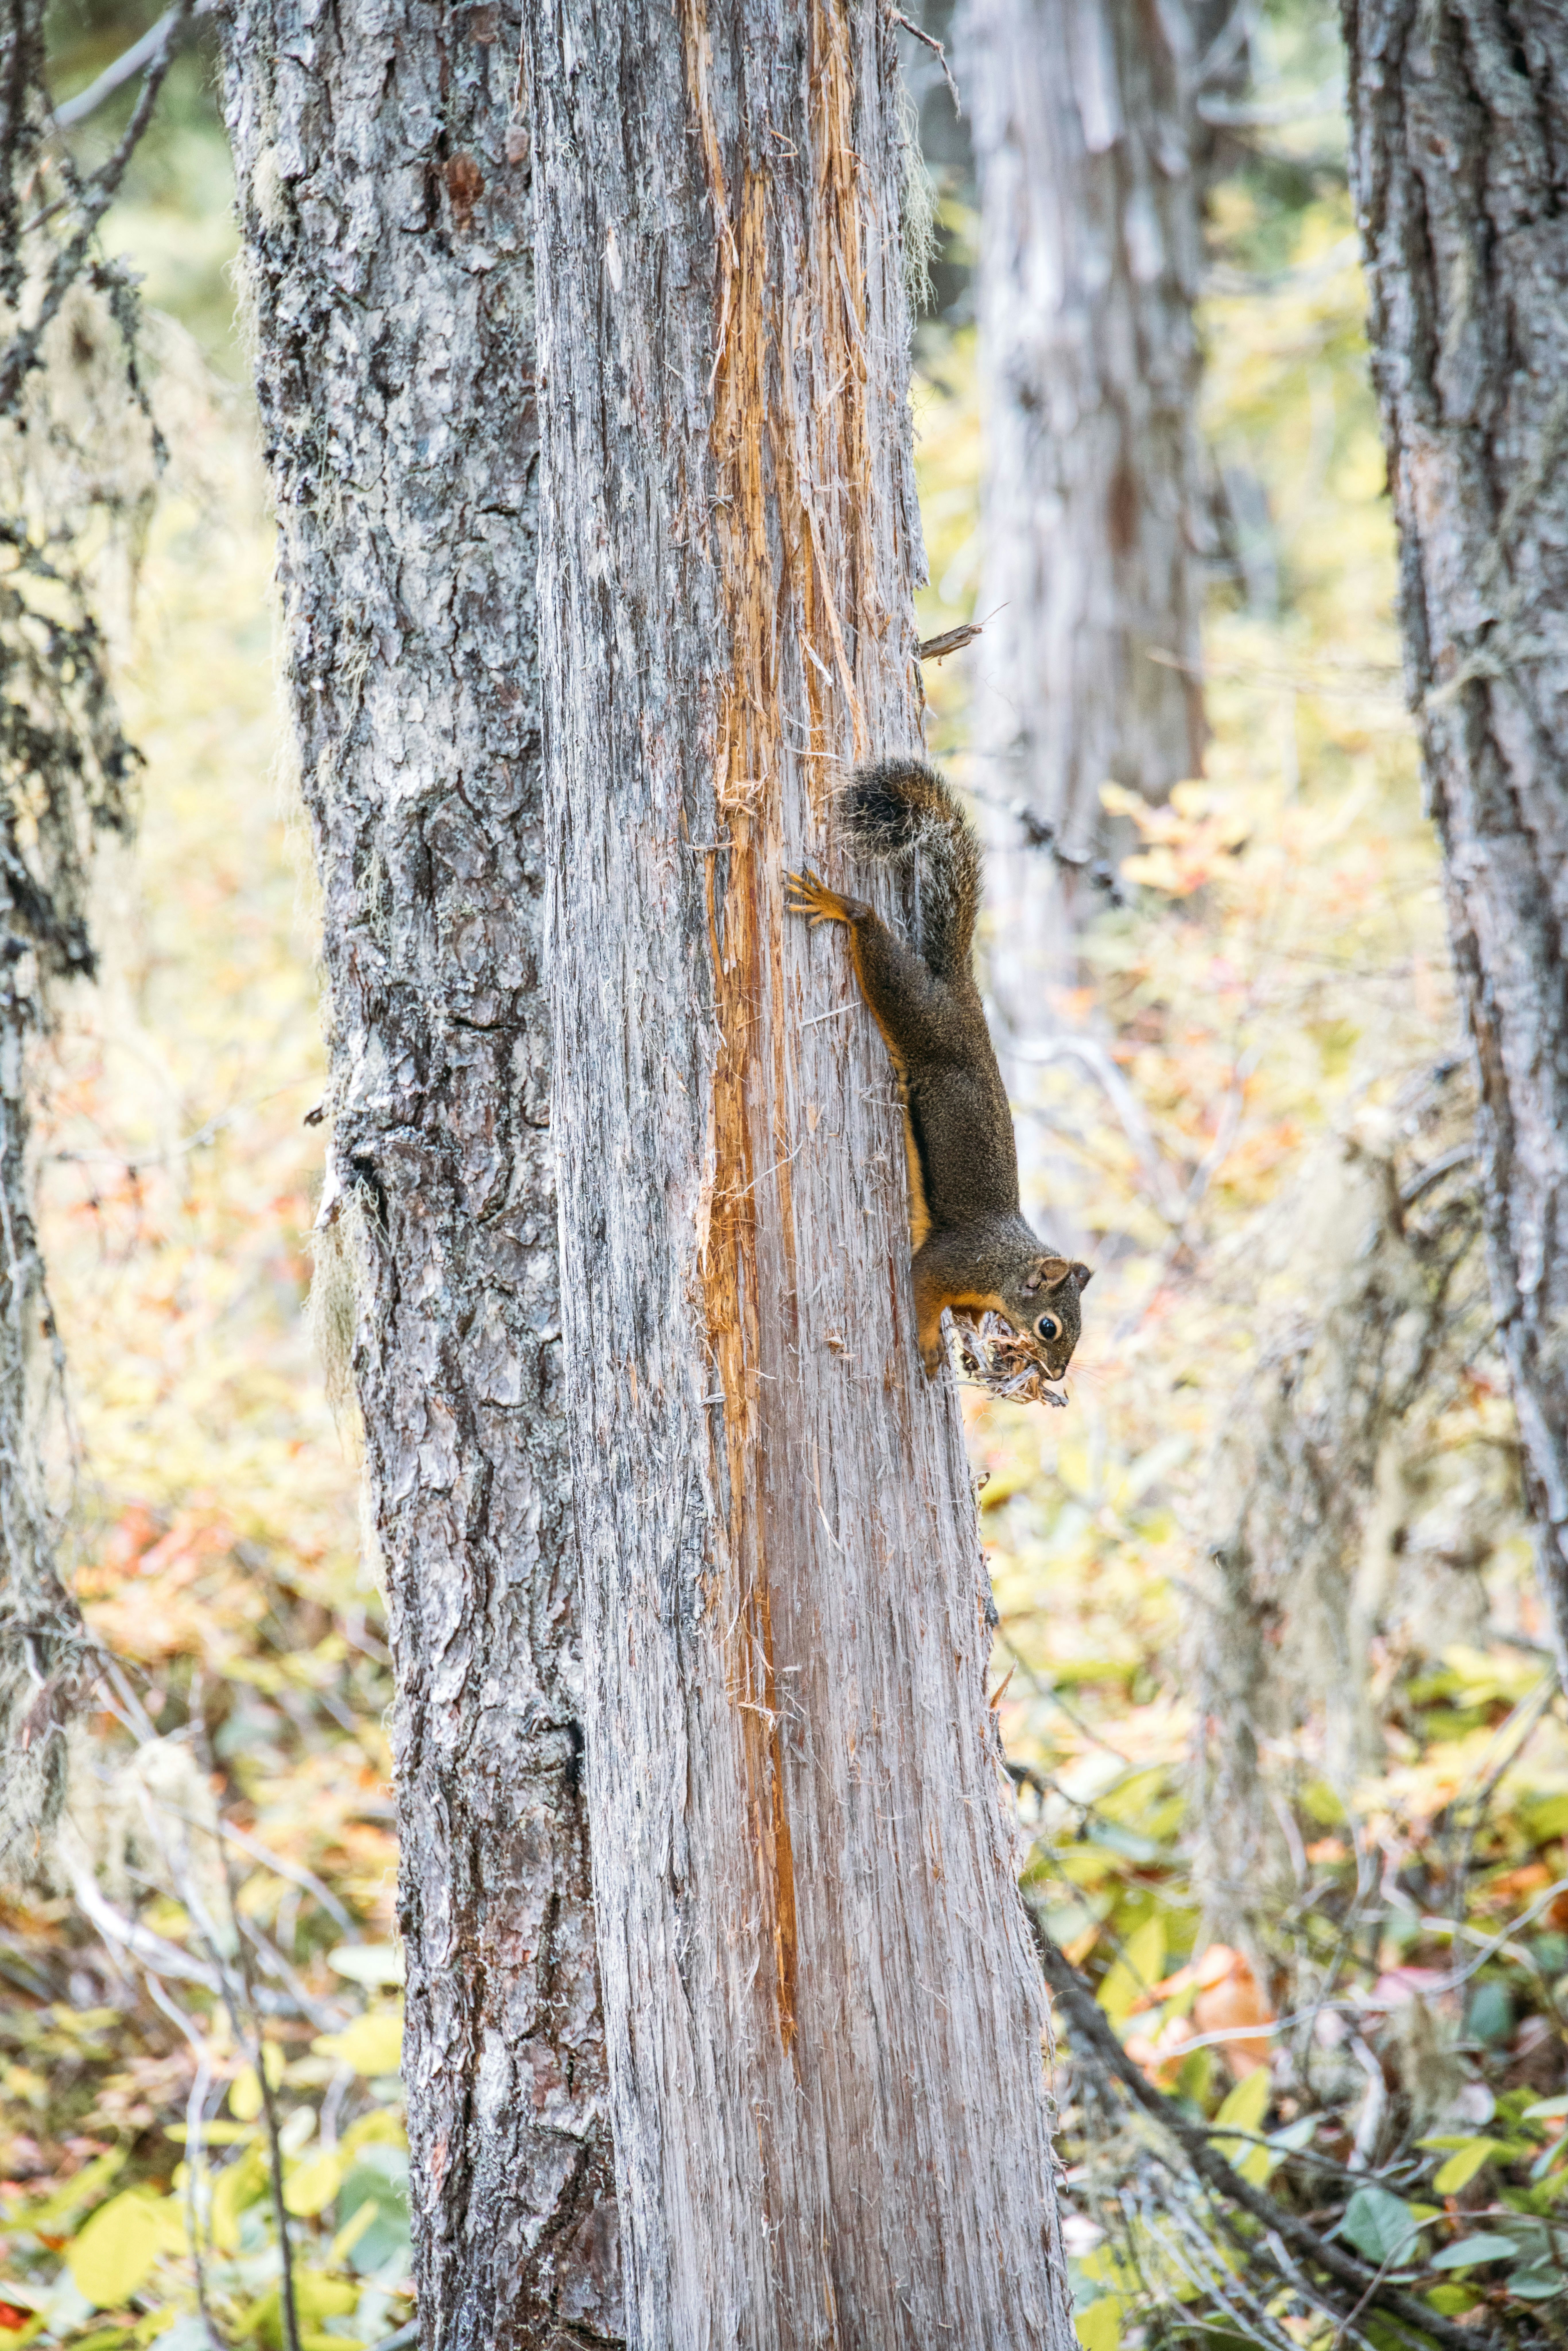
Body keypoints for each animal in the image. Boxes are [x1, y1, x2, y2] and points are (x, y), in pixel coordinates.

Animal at [787, 756, 1092, 1385]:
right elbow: (922, 1290)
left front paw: (972, 1345)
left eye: (1077, 1333)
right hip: (917, 1014)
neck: (1003, 1268)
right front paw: (931, 1345)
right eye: (1049, 1327)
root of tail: (963, 992)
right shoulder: (950, 1262)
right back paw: (843, 907)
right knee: (875, 942)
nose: (1055, 1376)